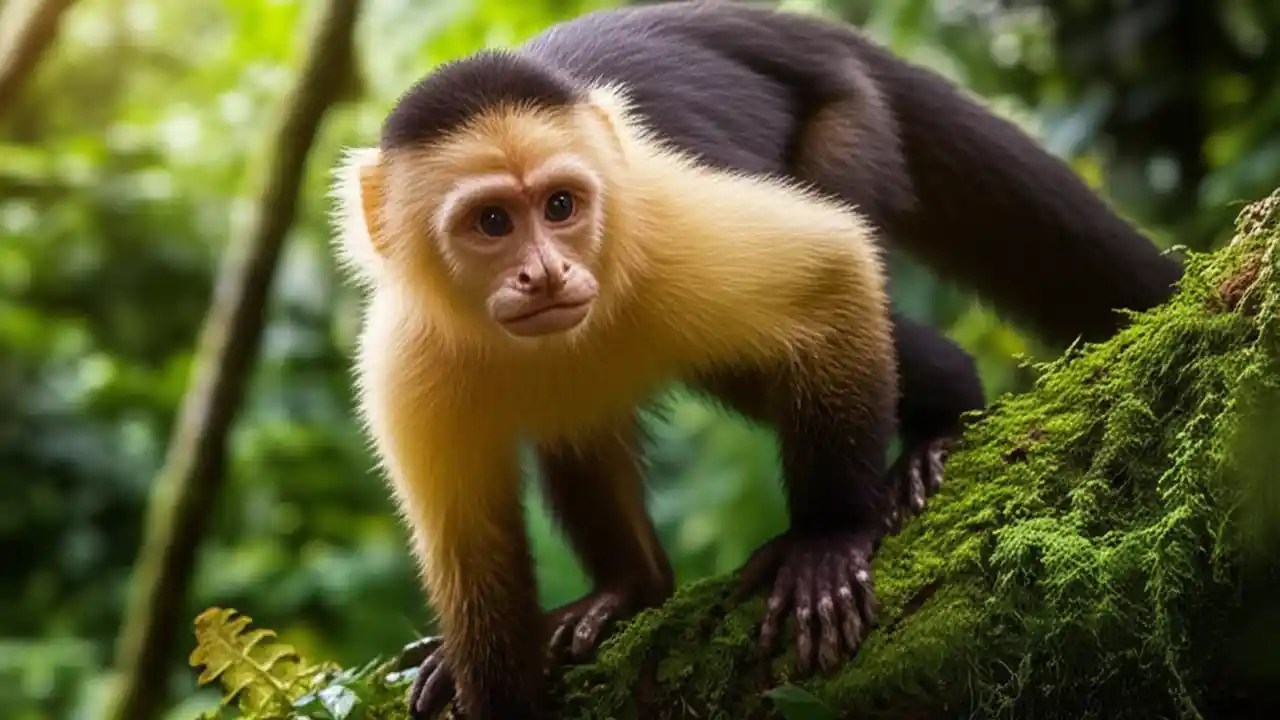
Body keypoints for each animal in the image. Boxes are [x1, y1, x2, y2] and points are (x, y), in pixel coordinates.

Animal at [330, 2, 1184, 718]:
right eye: (492, 222)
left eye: (561, 207)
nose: (545, 273)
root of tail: (796, 27)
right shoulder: (405, 361)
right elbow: (472, 552)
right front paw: (483, 674)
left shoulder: (665, 220)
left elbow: (833, 268)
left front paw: (829, 540)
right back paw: (628, 587)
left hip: (848, 120)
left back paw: (944, 422)